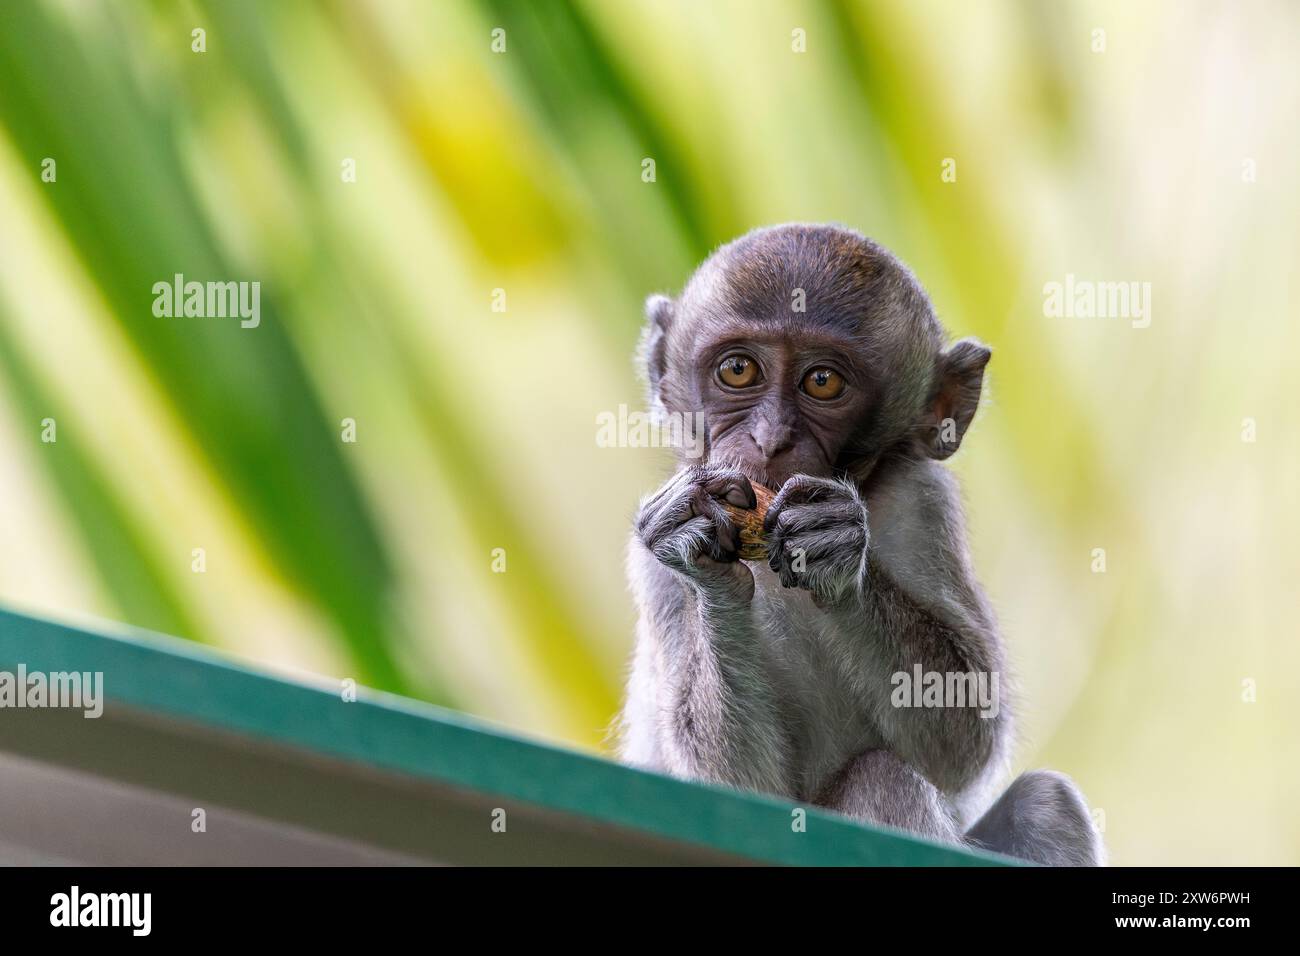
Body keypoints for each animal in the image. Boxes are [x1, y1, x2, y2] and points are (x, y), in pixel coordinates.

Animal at [617, 223, 1103, 866]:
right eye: (738, 370)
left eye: (823, 381)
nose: (770, 440)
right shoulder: (652, 559)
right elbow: (732, 794)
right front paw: (702, 557)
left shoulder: (923, 500)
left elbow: (962, 738)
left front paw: (835, 551)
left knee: (1029, 798)